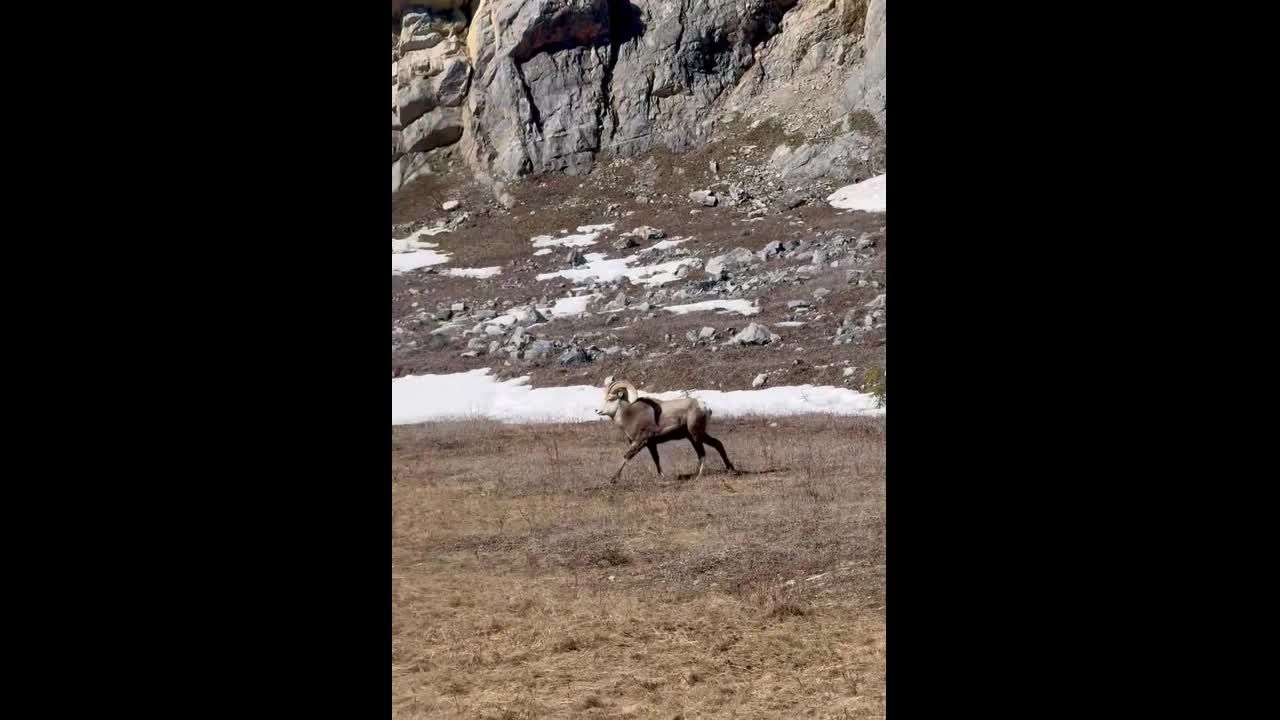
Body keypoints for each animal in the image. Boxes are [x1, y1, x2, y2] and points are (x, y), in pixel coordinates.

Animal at [596, 376, 736, 482]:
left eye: (611, 399)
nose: (597, 411)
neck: (630, 415)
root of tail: (704, 407)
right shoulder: (651, 444)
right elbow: (656, 459)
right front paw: (662, 477)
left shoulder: (640, 442)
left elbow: (626, 457)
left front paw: (613, 479)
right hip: (697, 436)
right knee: (717, 444)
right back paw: (730, 469)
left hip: (696, 435)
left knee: (702, 453)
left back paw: (697, 476)